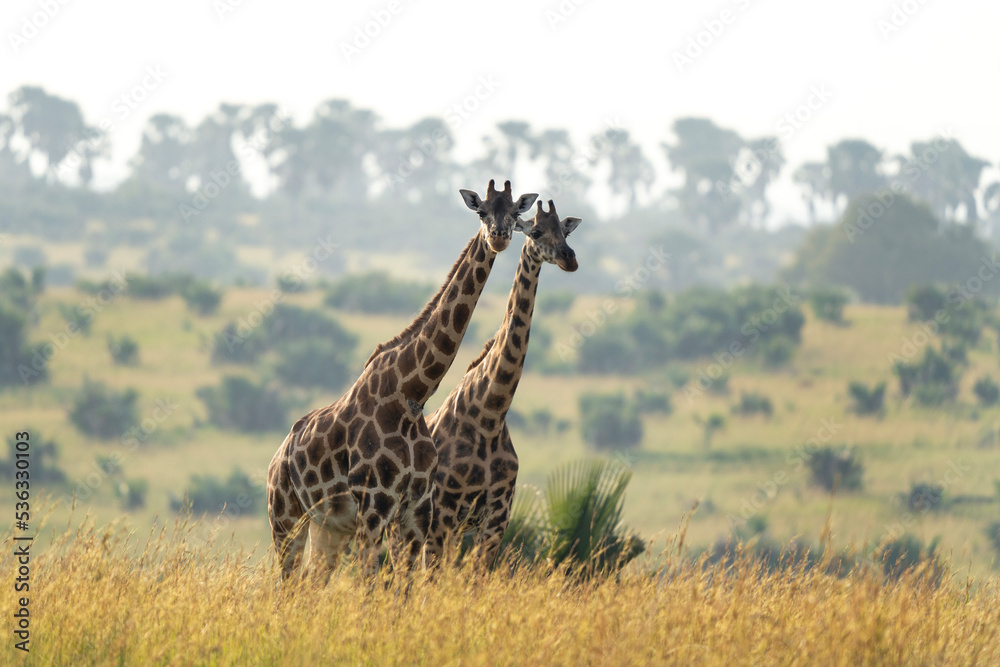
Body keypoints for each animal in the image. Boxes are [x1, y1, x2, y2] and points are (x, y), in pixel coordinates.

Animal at [266, 179, 538, 579]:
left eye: (515, 212)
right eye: (482, 212)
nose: (498, 237)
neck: (412, 393)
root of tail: (276, 458)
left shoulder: (417, 511)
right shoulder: (377, 506)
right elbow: (372, 583)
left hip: (328, 527)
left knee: (310, 583)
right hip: (285, 517)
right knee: (286, 582)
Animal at [426, 199, 581, 565]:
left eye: (565, 231)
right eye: (536, 231)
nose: (569, 258)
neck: (491, 413)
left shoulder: (496, 516)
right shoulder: (444, 510)